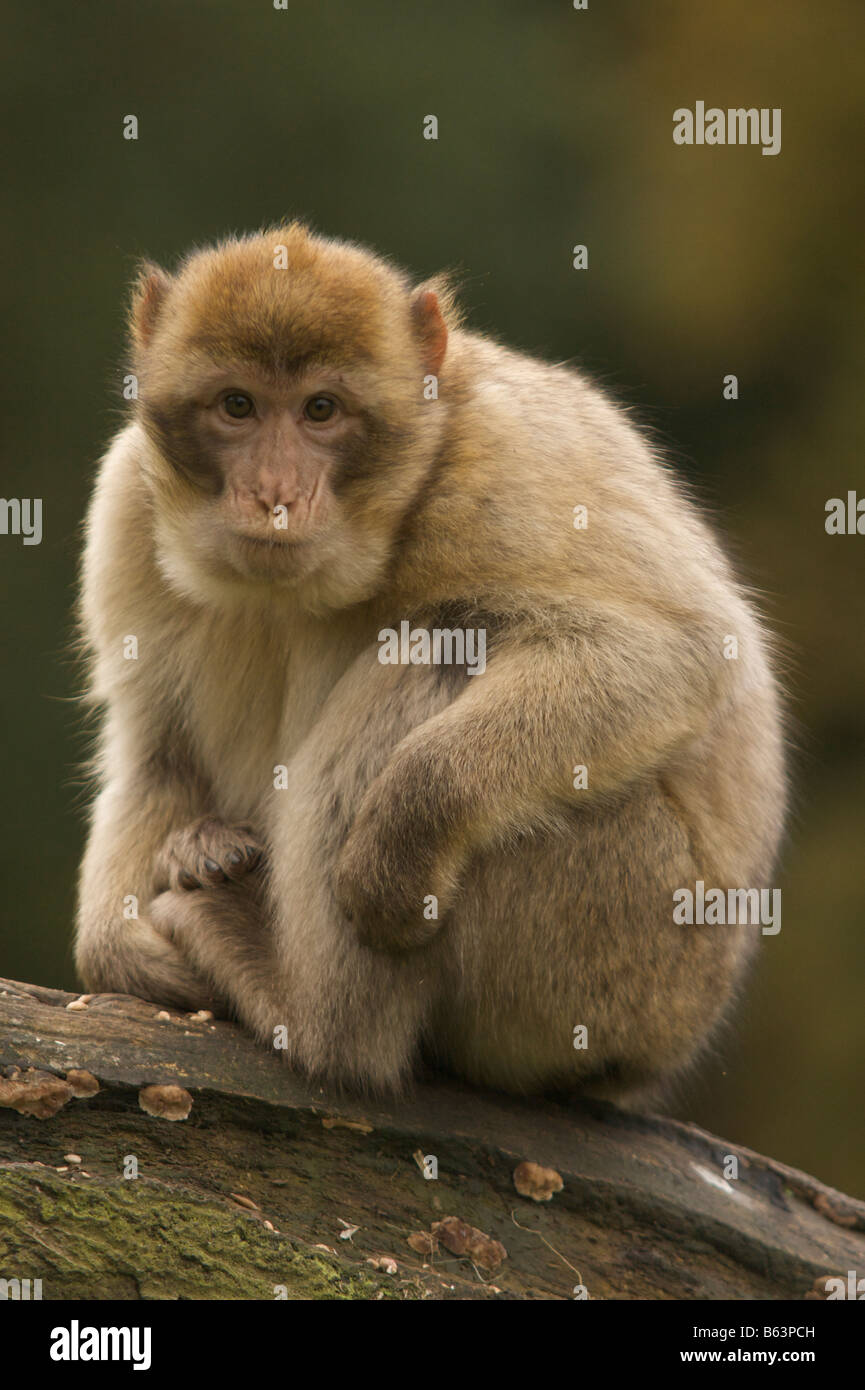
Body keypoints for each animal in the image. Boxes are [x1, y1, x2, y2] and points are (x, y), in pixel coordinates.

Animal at [74, 221, 787, 1101]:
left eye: (320, 410)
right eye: (237, 405)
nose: (275, 494)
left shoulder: (506, 462)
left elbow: (679, 651)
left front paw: (393, 853)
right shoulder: (126, 505)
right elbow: (156, 753)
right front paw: (119, 948)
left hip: (630, 943)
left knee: (434, 652)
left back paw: (307, 1013)